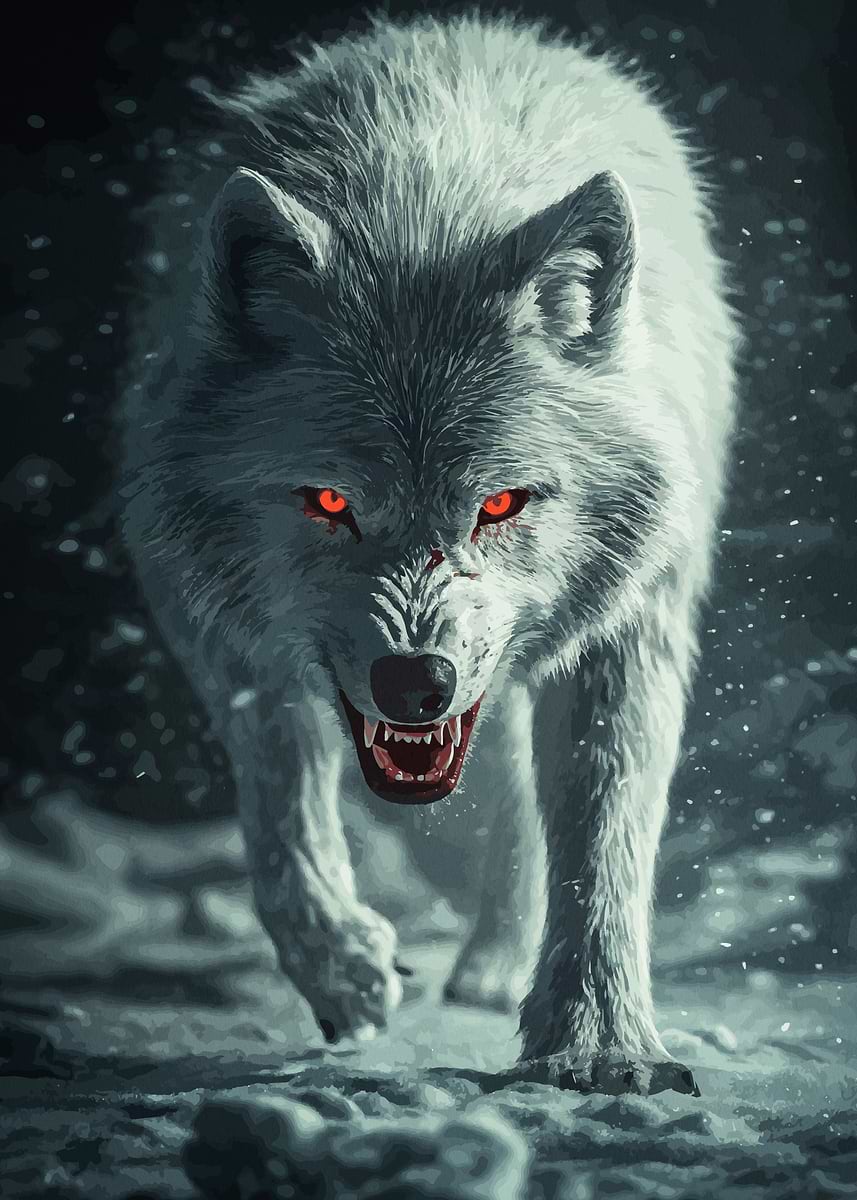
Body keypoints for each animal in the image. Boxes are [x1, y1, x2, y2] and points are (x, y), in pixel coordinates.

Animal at [120, 10, 737, 1096]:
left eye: (498, 503)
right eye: (330, 502)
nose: (416, 682)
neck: (425, 203)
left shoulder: (632, 619)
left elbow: (603, 830)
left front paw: (598, 1044)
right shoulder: (208, 613)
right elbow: (279, 783)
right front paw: (341, 966)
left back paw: (492, 972)